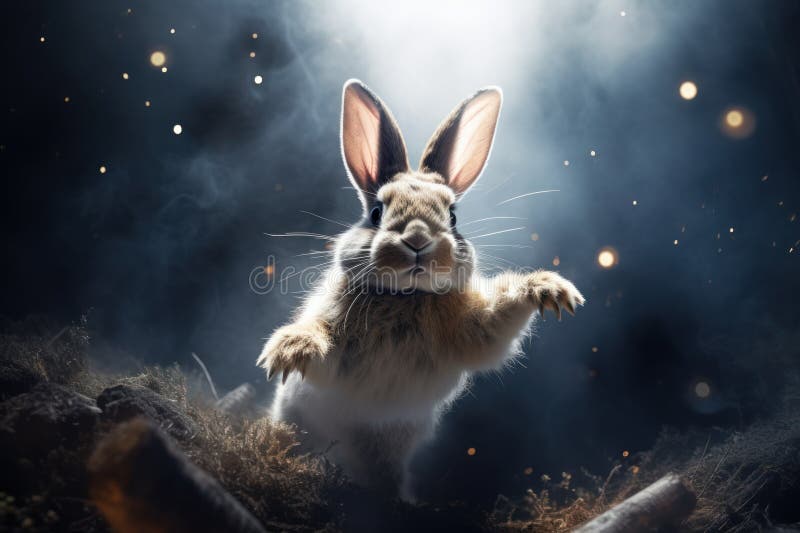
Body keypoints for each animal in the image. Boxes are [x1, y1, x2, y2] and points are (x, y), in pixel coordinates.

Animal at [257, 79, 584, 498]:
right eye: (376, 213)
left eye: (453, 216)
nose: (417, 241)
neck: (404, 297)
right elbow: (317, 343)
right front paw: (288, 351)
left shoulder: (474, 329)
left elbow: (498, 322)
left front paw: (550, 288)